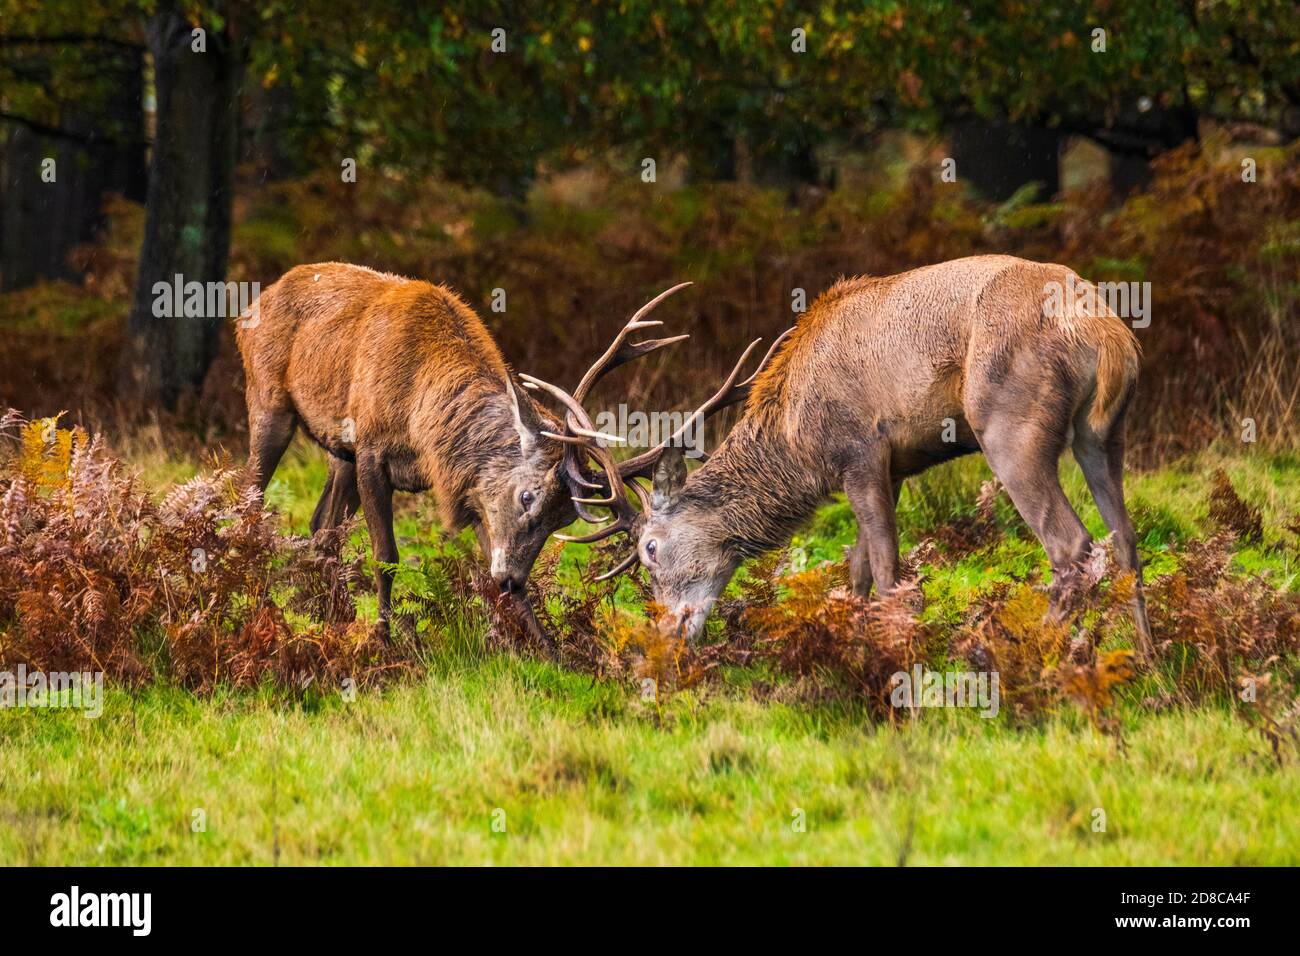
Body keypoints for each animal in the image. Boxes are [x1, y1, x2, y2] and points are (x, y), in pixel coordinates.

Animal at [236, 261, 690, 641]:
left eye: (564, 519)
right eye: (527, 496)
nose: (512, 577)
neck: (420, 421)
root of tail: (250, 308)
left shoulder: (468, 486)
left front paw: (545, 648)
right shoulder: (369, 448)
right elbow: (386, 556)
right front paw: (383, 639)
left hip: (337, 451)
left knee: (321, 528)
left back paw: (330, 617)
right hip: (268, 400)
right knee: (252, 498)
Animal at [525, 255, 1155, 658]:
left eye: (650, 550)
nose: (666, 638)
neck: (796, 441)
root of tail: (1102, 328)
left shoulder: (859, 450)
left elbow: (887, 574)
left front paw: (892, 661)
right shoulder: (894, 467)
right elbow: (855, 570)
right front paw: (846, 648)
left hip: (1009, 425)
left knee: (1073, 547)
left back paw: (1006, 655)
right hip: (1106, 431)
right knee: (1125, 538)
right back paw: (1148, 664)